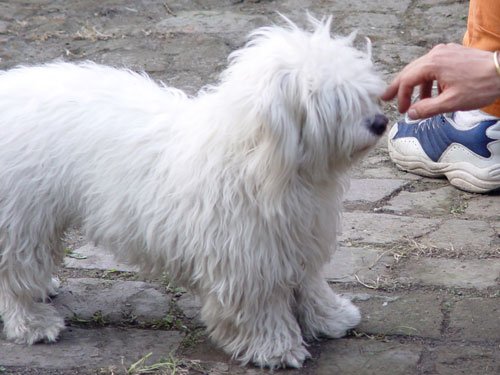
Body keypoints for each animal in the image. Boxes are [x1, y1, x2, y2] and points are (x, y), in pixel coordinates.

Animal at [0, 16, 386, 368]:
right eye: (336, 100)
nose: (381, 122)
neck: (258, 160)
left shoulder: (298, 238)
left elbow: (309, 284)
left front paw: (330, 317)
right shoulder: (245, 258)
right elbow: (259, 307)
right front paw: (275, 347)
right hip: (21, 221)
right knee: (13, 274)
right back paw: (32, 322)